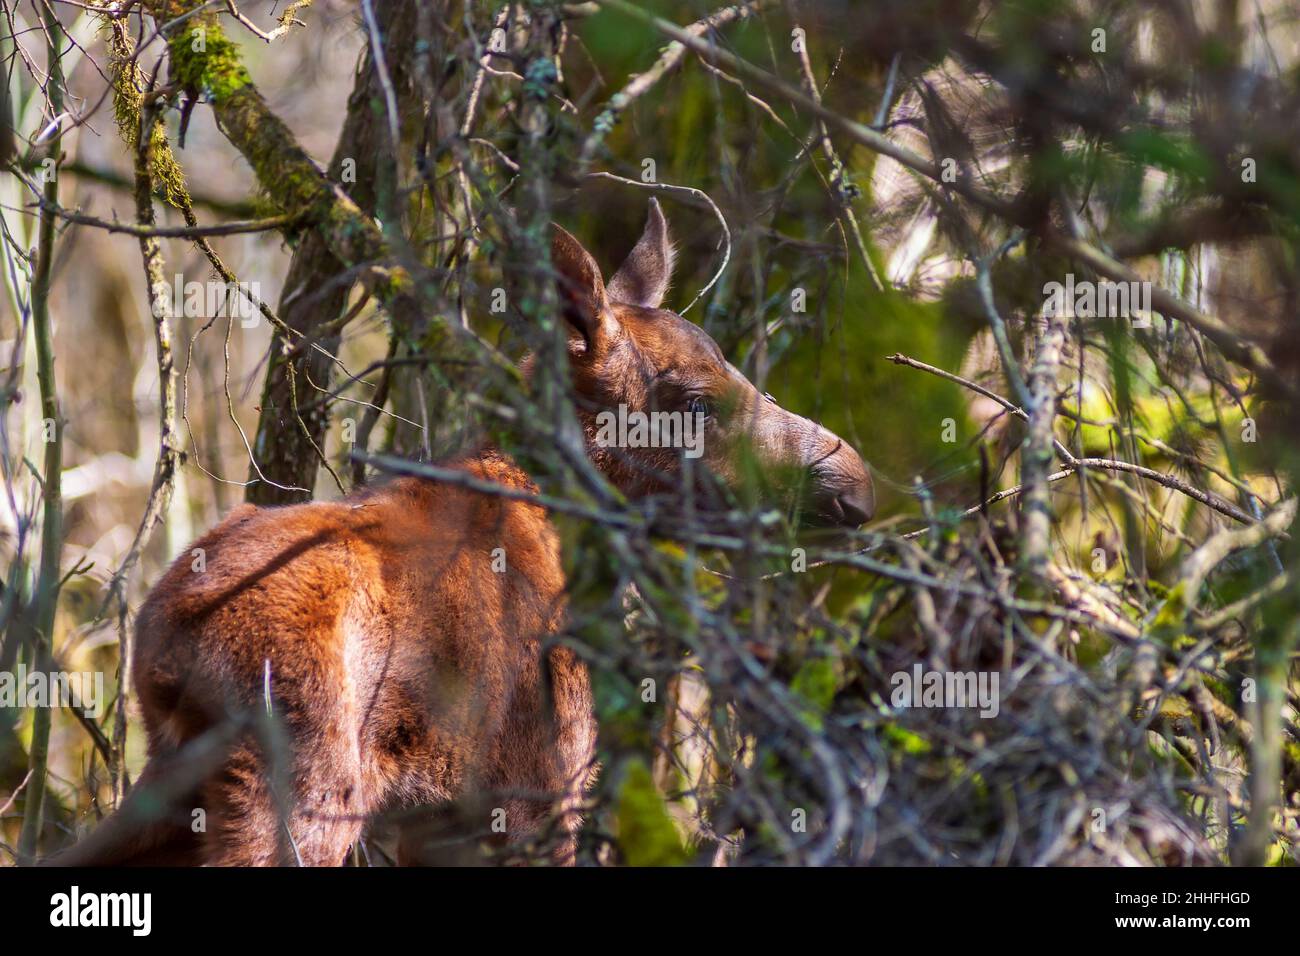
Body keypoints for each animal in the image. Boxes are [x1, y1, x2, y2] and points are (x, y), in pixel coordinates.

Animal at [52, 200, 874, 866]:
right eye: (697, 401)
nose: (855, 484)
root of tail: (170, 641)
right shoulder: (529, 794)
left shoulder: (440, 819)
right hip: (302, 790)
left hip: (169, 788)